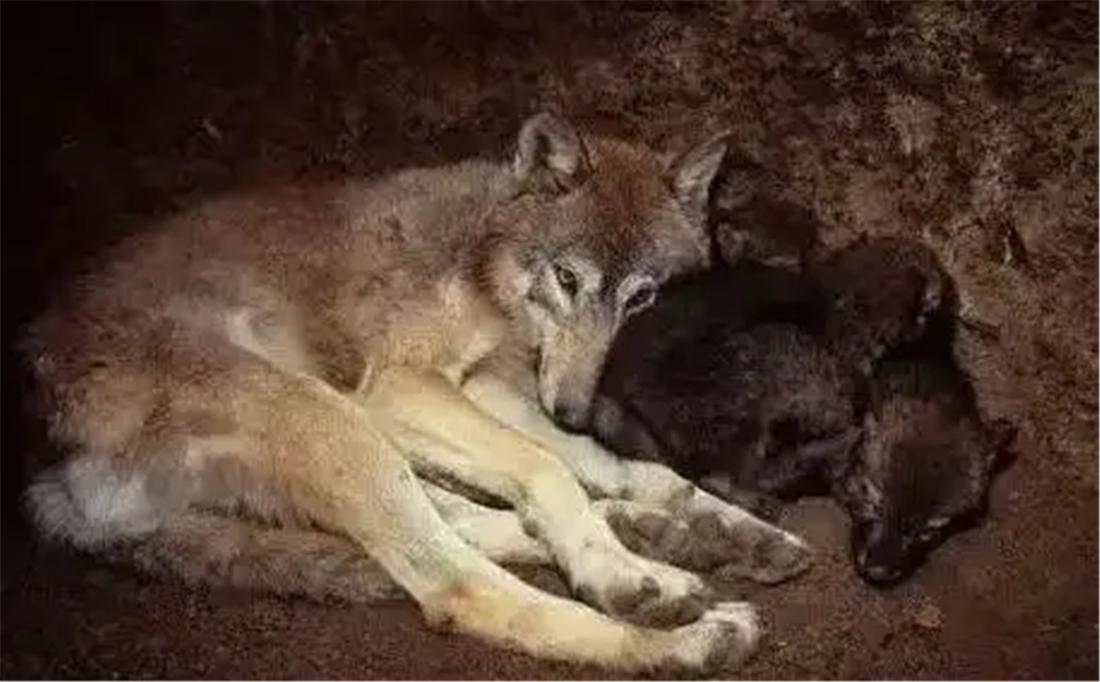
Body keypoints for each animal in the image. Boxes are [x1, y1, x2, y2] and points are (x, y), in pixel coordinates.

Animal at [20, 112, 812, 673]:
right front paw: (617, 564)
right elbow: (548, 467)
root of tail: (58, 467)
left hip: (340, 440)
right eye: (568, 279)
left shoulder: (492, 390)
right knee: (464, 589)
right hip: (330, 416)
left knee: (462, 522)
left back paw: (668, 545)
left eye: (642, 297)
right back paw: (683, 625)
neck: (487, 256)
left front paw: (724, 523)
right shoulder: (402, 386)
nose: (578, 411)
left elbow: (602, 466)